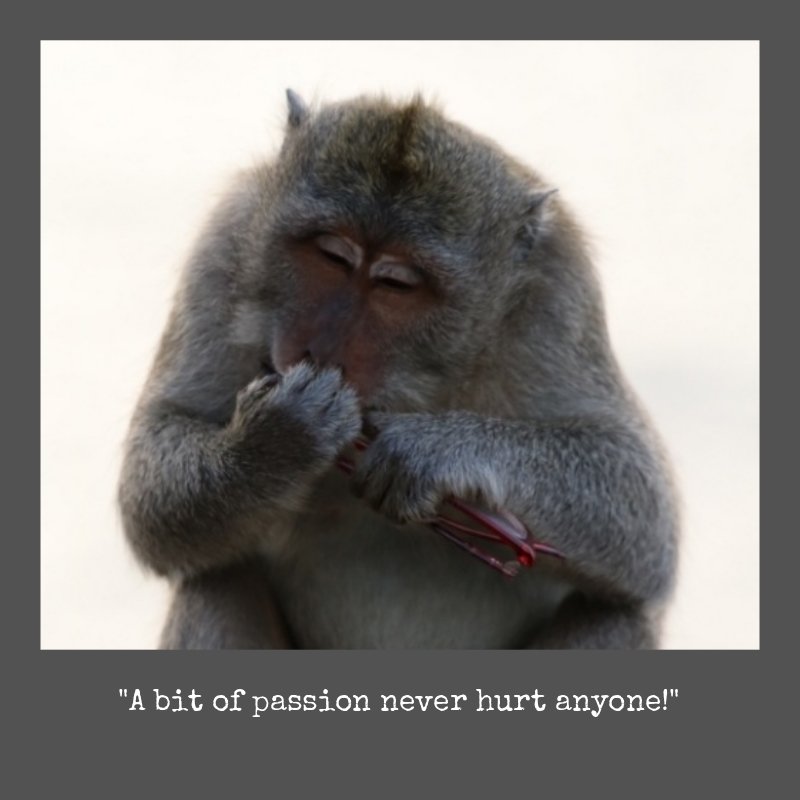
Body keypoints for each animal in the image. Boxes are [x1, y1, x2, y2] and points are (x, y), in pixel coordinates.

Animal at [118, 89, 679, 649]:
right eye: (331, 254)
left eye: (397, 283)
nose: (322, 350)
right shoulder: (225, 240)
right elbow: (152, 472)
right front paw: (275, 440)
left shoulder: (561, 293)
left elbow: (645, 518)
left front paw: (434, 450)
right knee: (219, 579)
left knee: (615, 612)